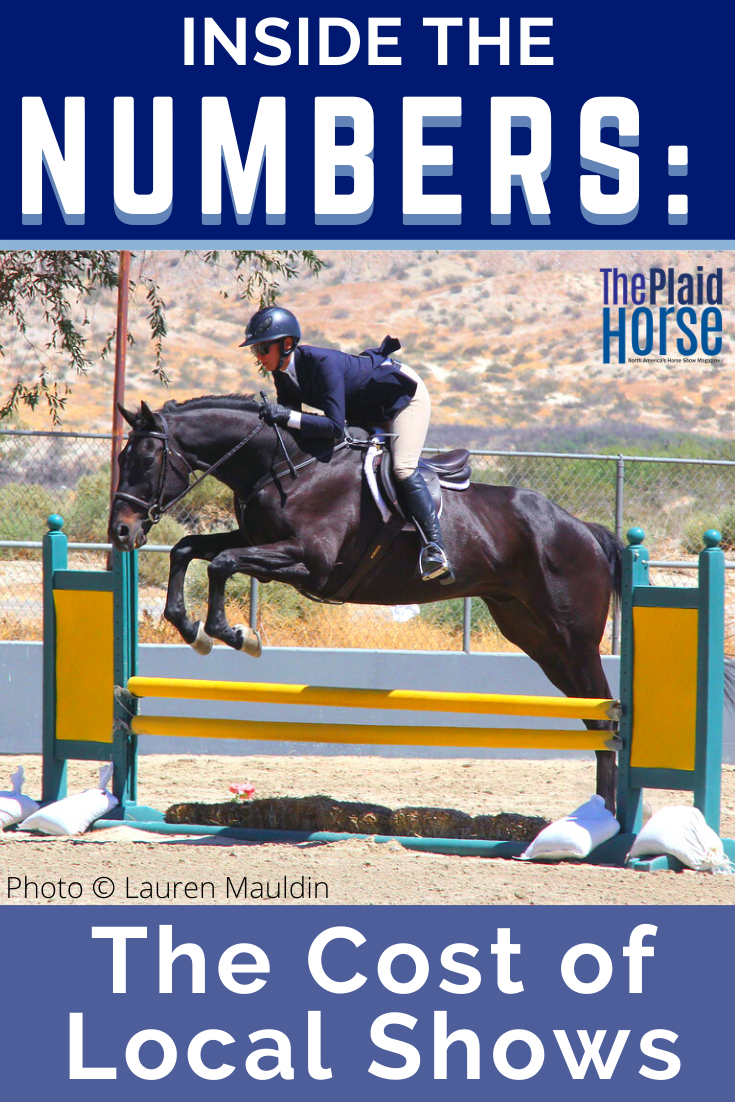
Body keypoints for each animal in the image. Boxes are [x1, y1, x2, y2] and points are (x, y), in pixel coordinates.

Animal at [108, 395, 623, 807]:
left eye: (147, 459)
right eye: (122, 457)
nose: (122, 531)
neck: (287, 465)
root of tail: (582, 528)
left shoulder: (308, 562)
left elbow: (221, 563)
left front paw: (235, 634)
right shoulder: (259, 540)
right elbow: (188, 549)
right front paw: (190, 628)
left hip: (574, 639)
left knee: (606, 715)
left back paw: (604, 819)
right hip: (535, 637)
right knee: (591, 714)